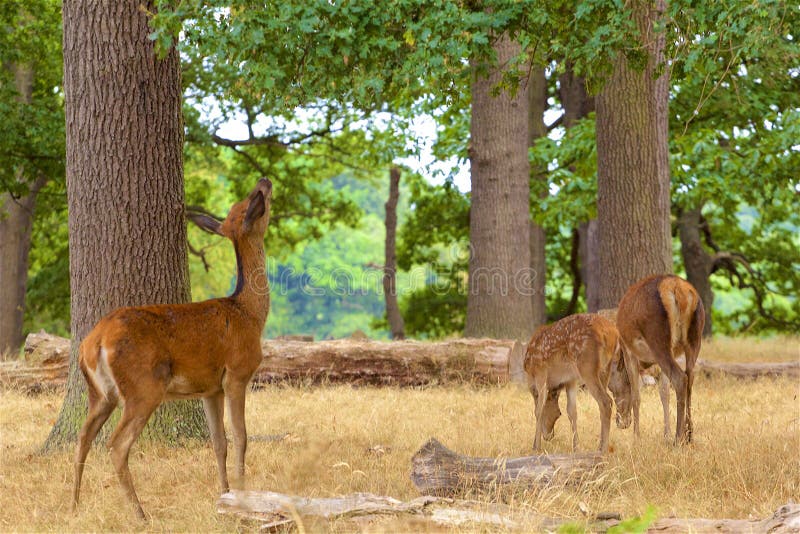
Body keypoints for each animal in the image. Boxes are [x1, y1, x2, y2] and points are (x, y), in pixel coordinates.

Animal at [72, 178, 272, 520]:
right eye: (254, 201)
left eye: (239, 205)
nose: (264, 180)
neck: (249, 314)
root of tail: (95, 341)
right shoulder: (237, 373)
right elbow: (241, 436)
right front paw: (243, 496)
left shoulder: (210, 388)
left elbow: (219, 442)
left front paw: (224, 494)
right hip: (143, 387)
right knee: (116, 444)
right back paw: (139, 513)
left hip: (100, 393)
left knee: (84, 437)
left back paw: (74, 505)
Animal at [524, 313, 632, 454]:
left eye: (558, 414)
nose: (548, 436)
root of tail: (611, 333)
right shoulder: (570, 380)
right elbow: (572, 411)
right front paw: (576, 447)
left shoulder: (540, 371)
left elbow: (538, 409)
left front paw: (536, 447)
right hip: (605, 368)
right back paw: (600, 446)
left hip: (587, 365)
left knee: (605, 401)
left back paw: (603, 449)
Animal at [614, 274, 705, 445]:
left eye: (612, 388)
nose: (620, 422)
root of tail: (679, 290)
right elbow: (664, 393)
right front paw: (666, 434)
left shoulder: (629, 351)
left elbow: (636, 394)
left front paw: (636, 438)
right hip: (695, 338)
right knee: (690, 377)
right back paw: (689, 435)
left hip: (658, 339)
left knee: (680, 378)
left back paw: (678, 438)